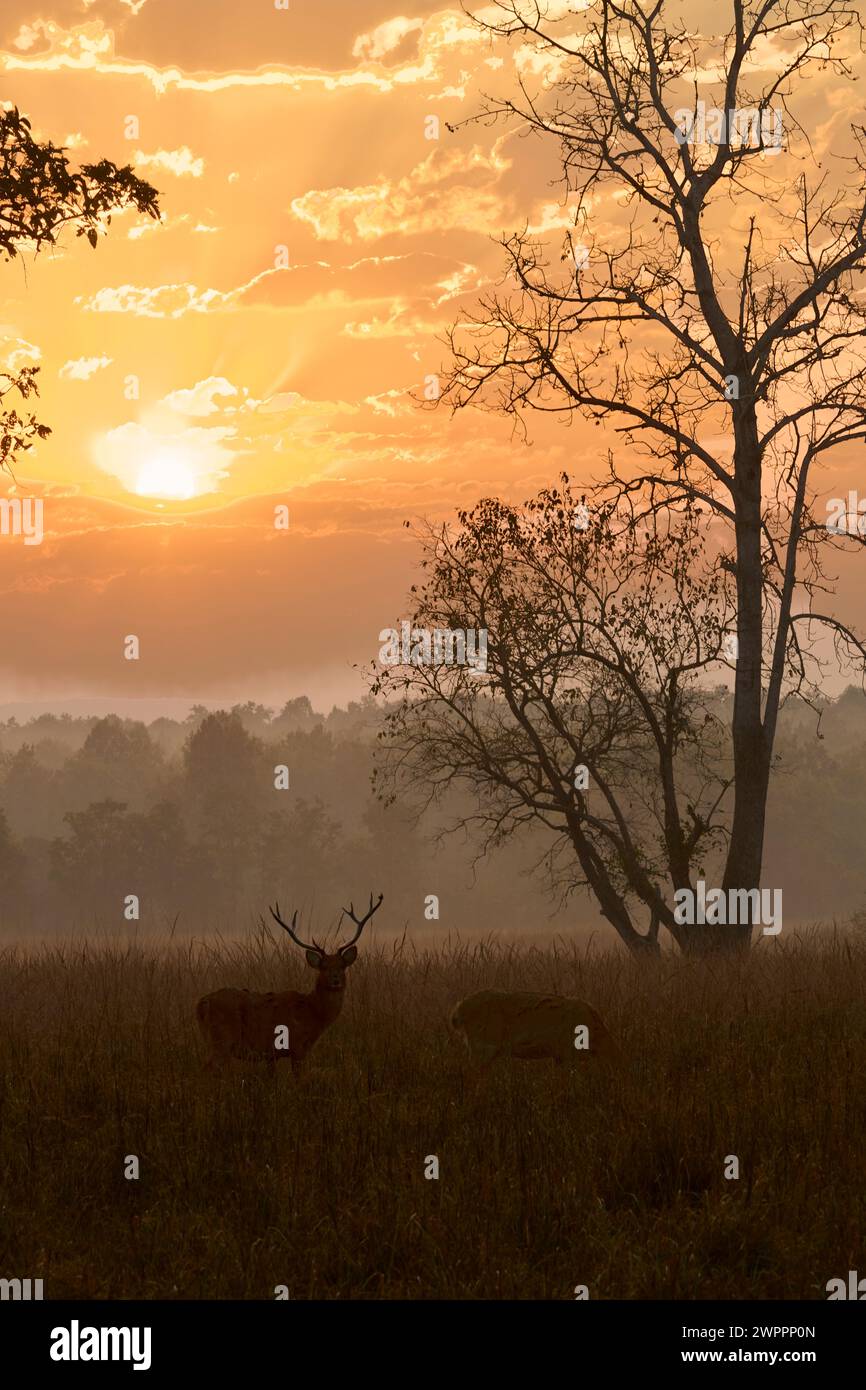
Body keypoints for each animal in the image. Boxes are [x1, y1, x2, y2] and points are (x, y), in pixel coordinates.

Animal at [196, 892, 383, 1072]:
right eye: (323, 967)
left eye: (342, 966)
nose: (335, 980)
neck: (313, 1012)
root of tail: (201, 1003)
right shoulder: (298, 1048)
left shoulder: (270, 1055)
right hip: (222, 1039)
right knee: (207, 1068)